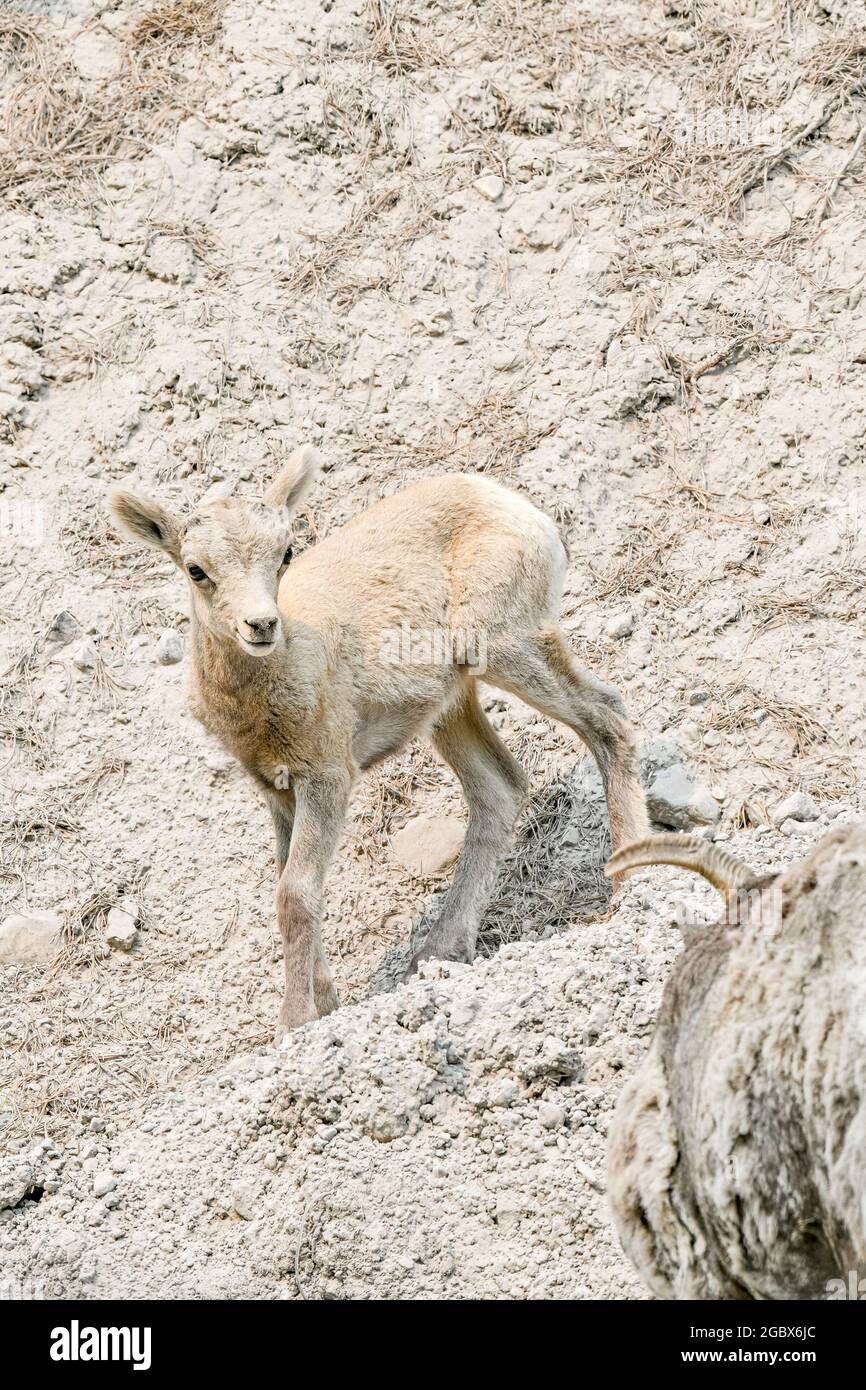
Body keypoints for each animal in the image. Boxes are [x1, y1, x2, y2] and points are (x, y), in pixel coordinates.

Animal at [109, 447, 648, 1041]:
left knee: (606, 716)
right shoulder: (277, 789)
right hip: (450, 704)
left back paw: (630, 882)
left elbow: (295, 894)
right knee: (500, 789)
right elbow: (291, 885)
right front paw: (326, 1004)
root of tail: (516, 507)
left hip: (511, 648)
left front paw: (294, 1024)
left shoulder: (327, 776)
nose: (261, 625)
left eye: (285, 553)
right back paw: (437, 953)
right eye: (196, 569)